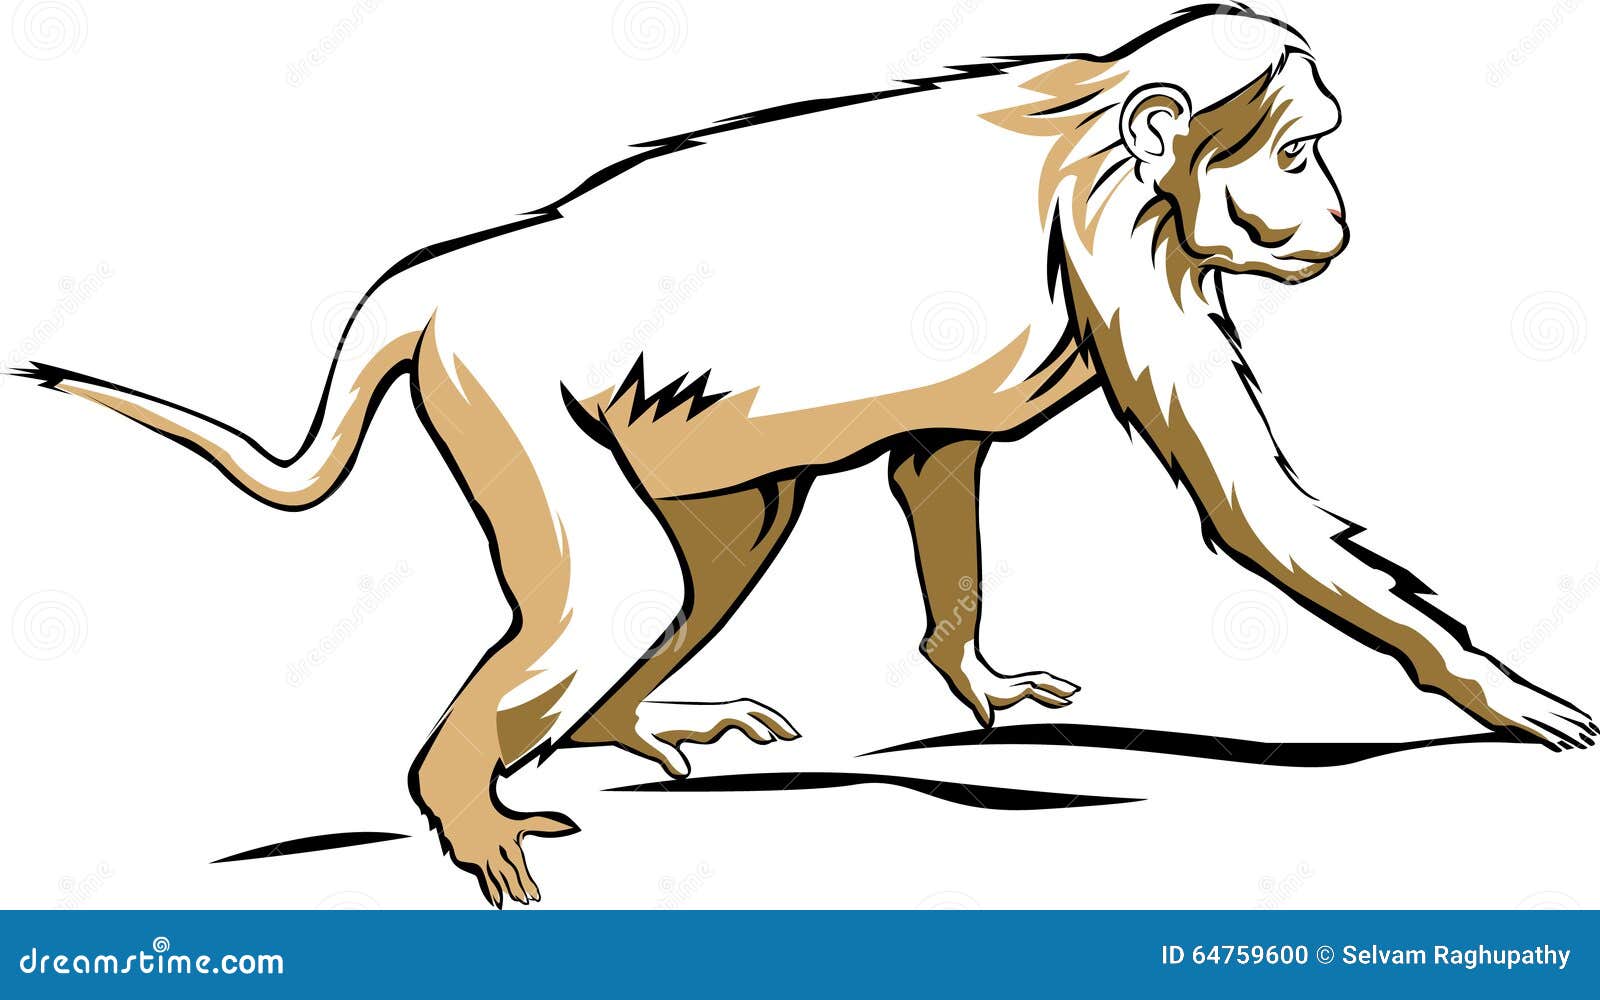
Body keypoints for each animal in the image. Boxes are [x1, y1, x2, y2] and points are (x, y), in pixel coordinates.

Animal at [16, 5, 1594, 907]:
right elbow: (1250, 504)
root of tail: (440, 277)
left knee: (719, 550)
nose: (1339, 216)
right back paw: (465, 802)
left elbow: (938, 469)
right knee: (619, 596)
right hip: (503, 382)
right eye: (1298, 152)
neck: (1106, 112)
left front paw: (974, 679)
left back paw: (626, 726)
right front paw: (1501, 691)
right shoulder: (1121, 238)